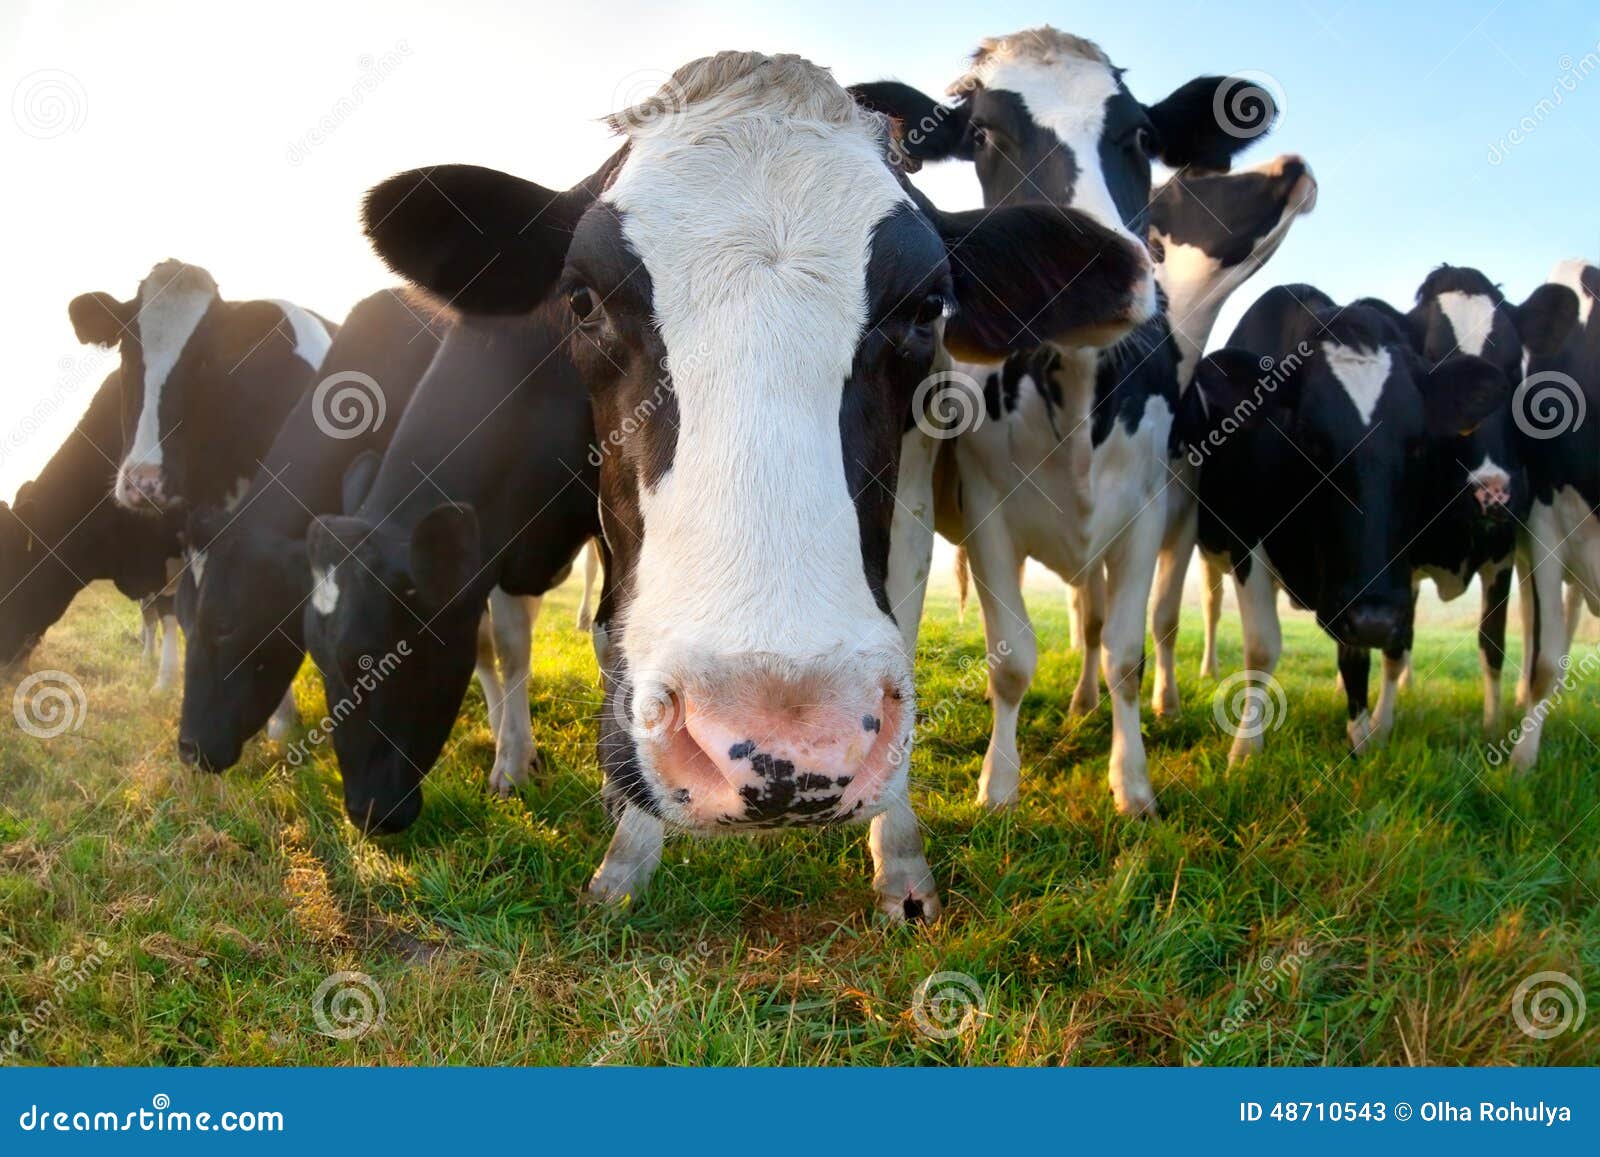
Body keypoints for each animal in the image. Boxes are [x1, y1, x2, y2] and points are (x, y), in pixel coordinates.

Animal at [356, 51, 1155, 919]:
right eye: (584, 300)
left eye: (926, 308)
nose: (786, 748)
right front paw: (627, 853)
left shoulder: (913, 502)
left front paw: (902, 861)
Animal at [853, 27, 1281, 816]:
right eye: (983, 135)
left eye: (1140, 135)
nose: (1095, 277)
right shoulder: (988, 513)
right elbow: (1013, 658)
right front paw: (999, 786)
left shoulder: (1144, 512)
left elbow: (1126, 651)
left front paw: (1133, 785)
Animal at [1180, 286, 1521, 761]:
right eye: (1307, 437)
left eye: (1418, 443)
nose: (1374, 619)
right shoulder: (1248, 542)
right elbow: (1262, 647)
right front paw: (1245, 750)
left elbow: (1364, 652)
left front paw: (1361, 735)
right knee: (1204, 605)